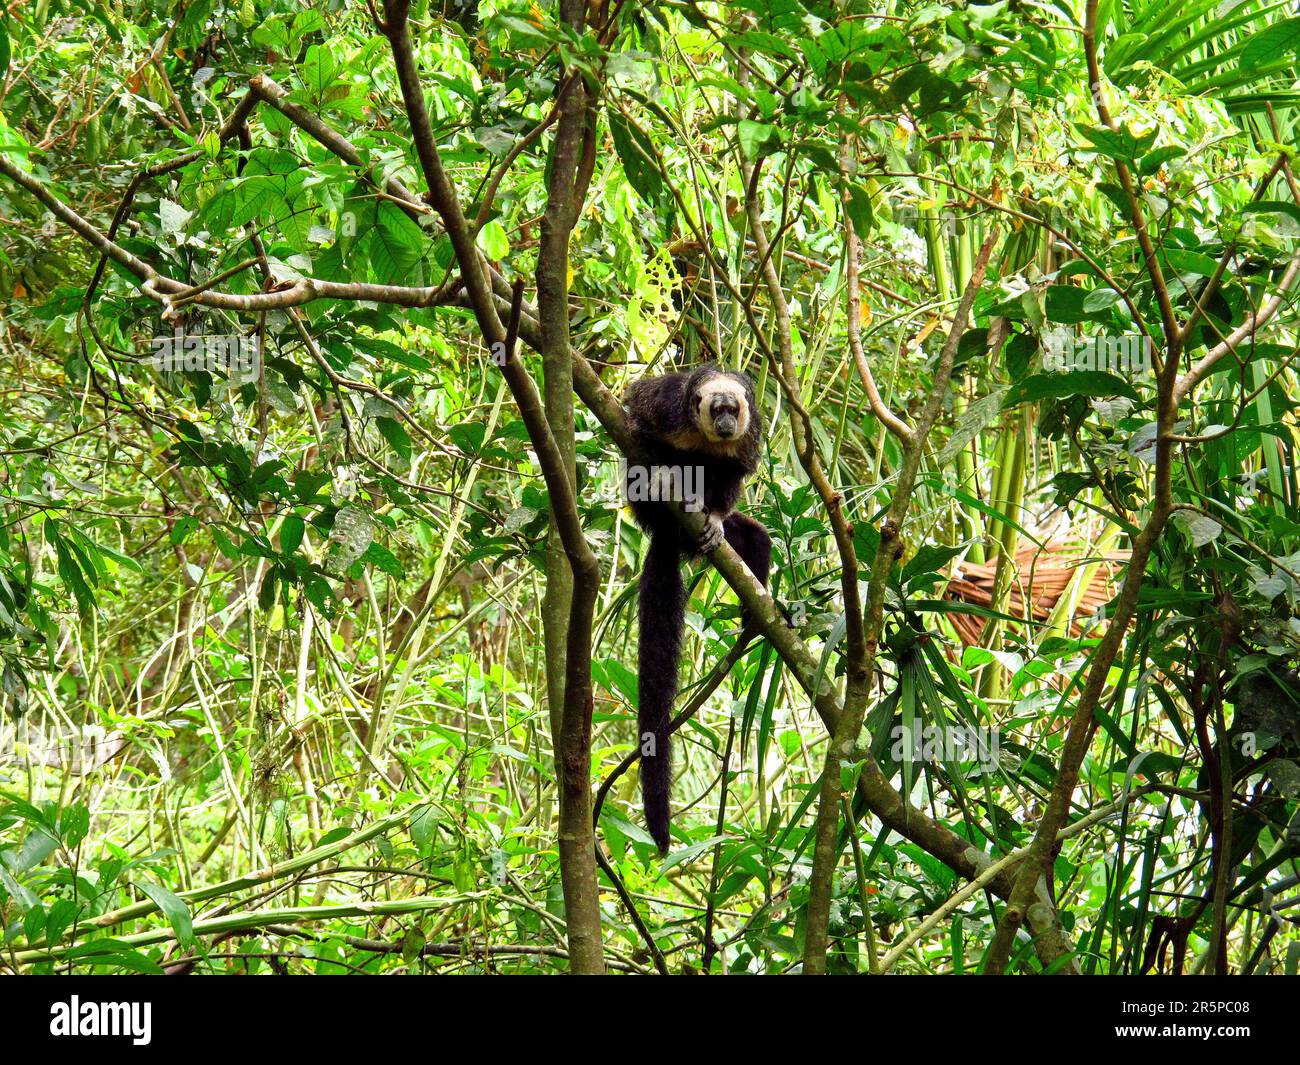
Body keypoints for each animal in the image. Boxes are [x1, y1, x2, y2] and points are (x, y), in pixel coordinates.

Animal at [622, 364, 772, 852]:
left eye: (733, 410)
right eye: (716, 408)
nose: (724, 421)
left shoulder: (750, 433)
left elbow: (734, 475)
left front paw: (718, 516)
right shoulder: (666, 404)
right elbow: (636, 416)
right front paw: (664, 469)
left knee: (755, 539)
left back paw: (753, 618)